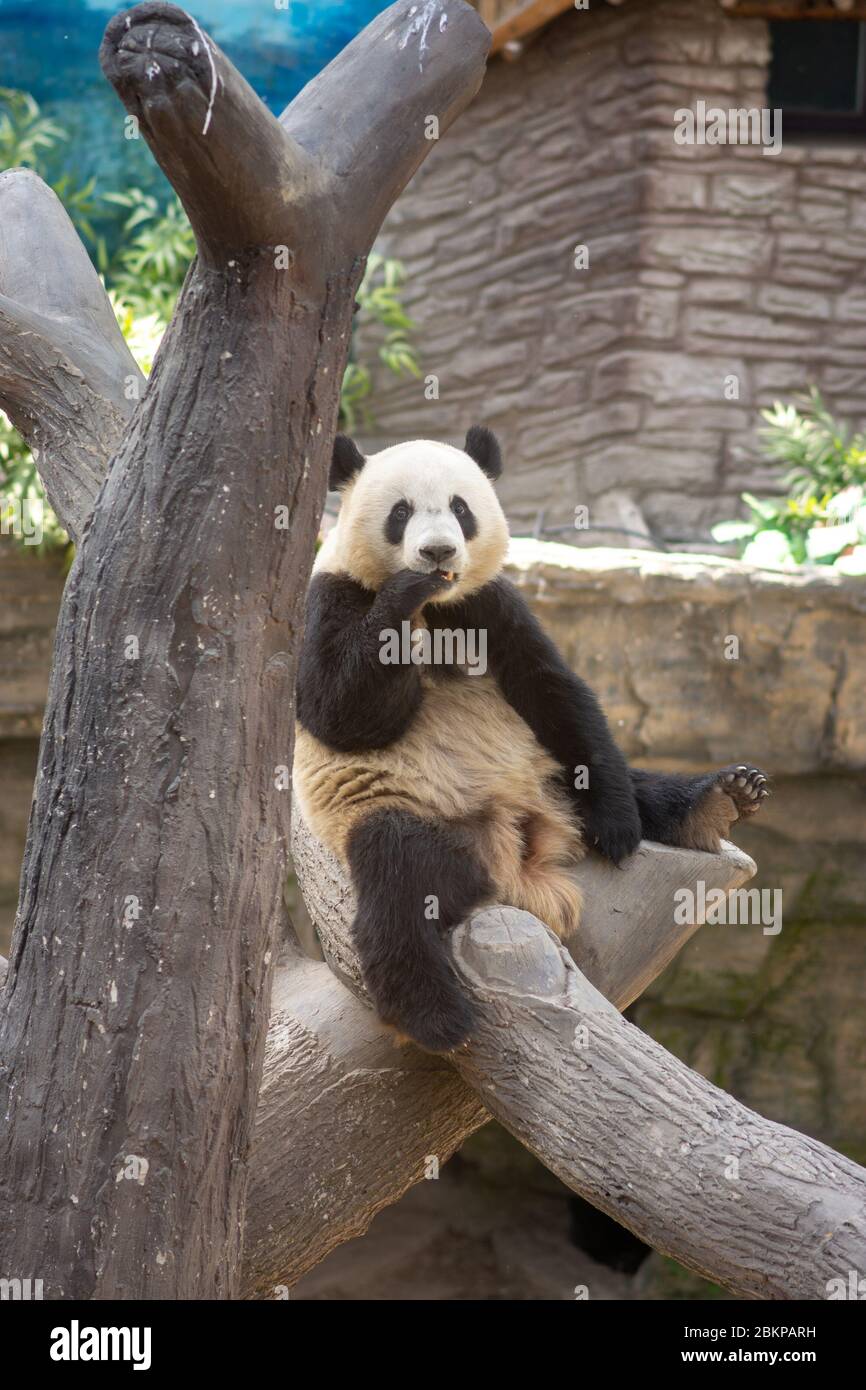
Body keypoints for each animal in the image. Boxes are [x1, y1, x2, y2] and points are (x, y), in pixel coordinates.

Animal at [294, 427, 769, 1052]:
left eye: (460, 508)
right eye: (400, 513)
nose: (438, 553)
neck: (438, 607)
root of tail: (521, 854)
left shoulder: (492, 605)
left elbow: (553, 690)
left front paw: (620, 827)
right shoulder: (334, 594)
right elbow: (337, 712)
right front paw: (402, 594)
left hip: (548, 775)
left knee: (627, 778)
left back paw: (718, 800)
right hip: (410, 813)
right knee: (398, 878)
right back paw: (434, 1016)